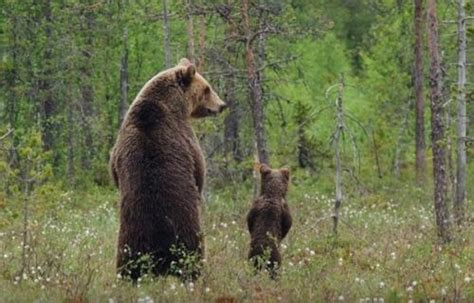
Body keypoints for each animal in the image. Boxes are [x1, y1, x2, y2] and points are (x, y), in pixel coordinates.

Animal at [109, 58, 226, 282]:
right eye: (207, 88)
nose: (222, 105)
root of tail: (159, 257)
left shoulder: (119, 147)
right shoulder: (186, 137)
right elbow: (199, 170)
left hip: (129, 239)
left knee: (127, 265)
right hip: (186, 231)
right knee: (193, 258)